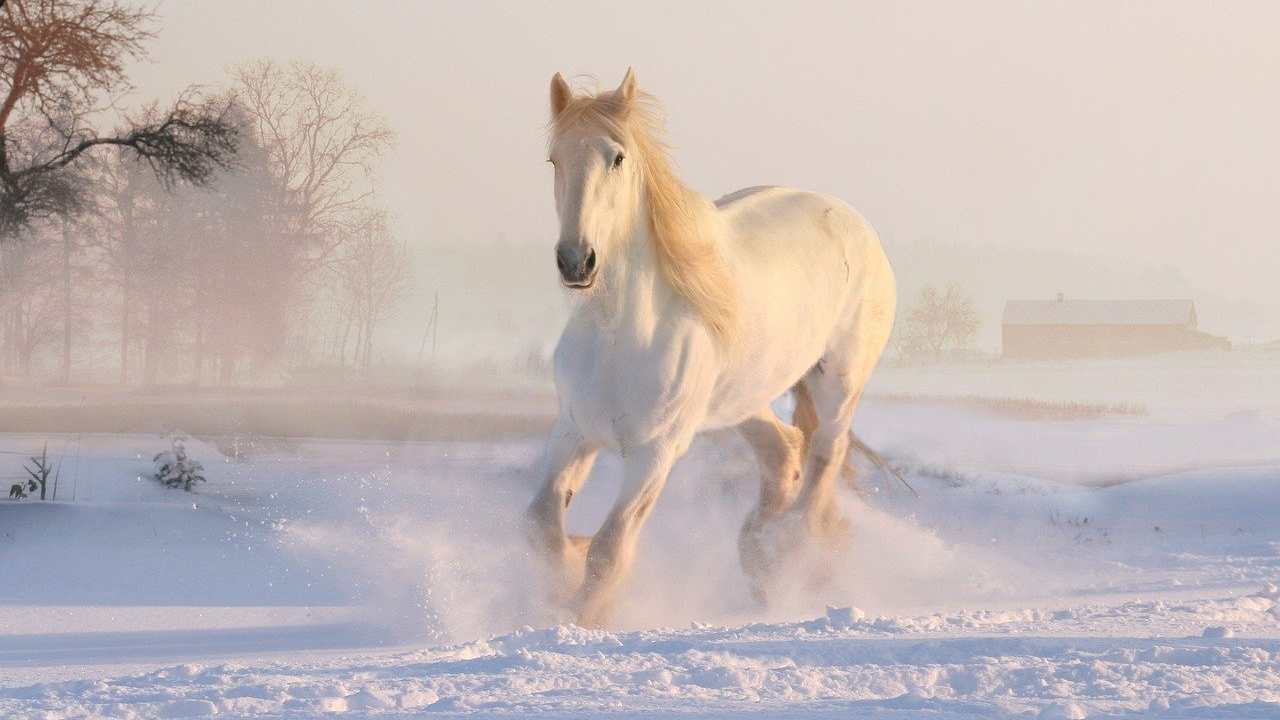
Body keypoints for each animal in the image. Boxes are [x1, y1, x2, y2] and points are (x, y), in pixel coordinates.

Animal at [526, 68, 897, 626]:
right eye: (555, 159)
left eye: (617, 157)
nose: (576, 261)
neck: (621, 334)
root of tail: (855, 223)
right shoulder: (573, 430)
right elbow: (543, 527)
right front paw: (566, 570)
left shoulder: (656, 452)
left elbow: (609, 551)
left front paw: (584, 617)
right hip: (739, 400)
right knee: (784, 450)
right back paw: (760, 554)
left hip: (838, 382)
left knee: (824, 458)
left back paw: (789, 553)